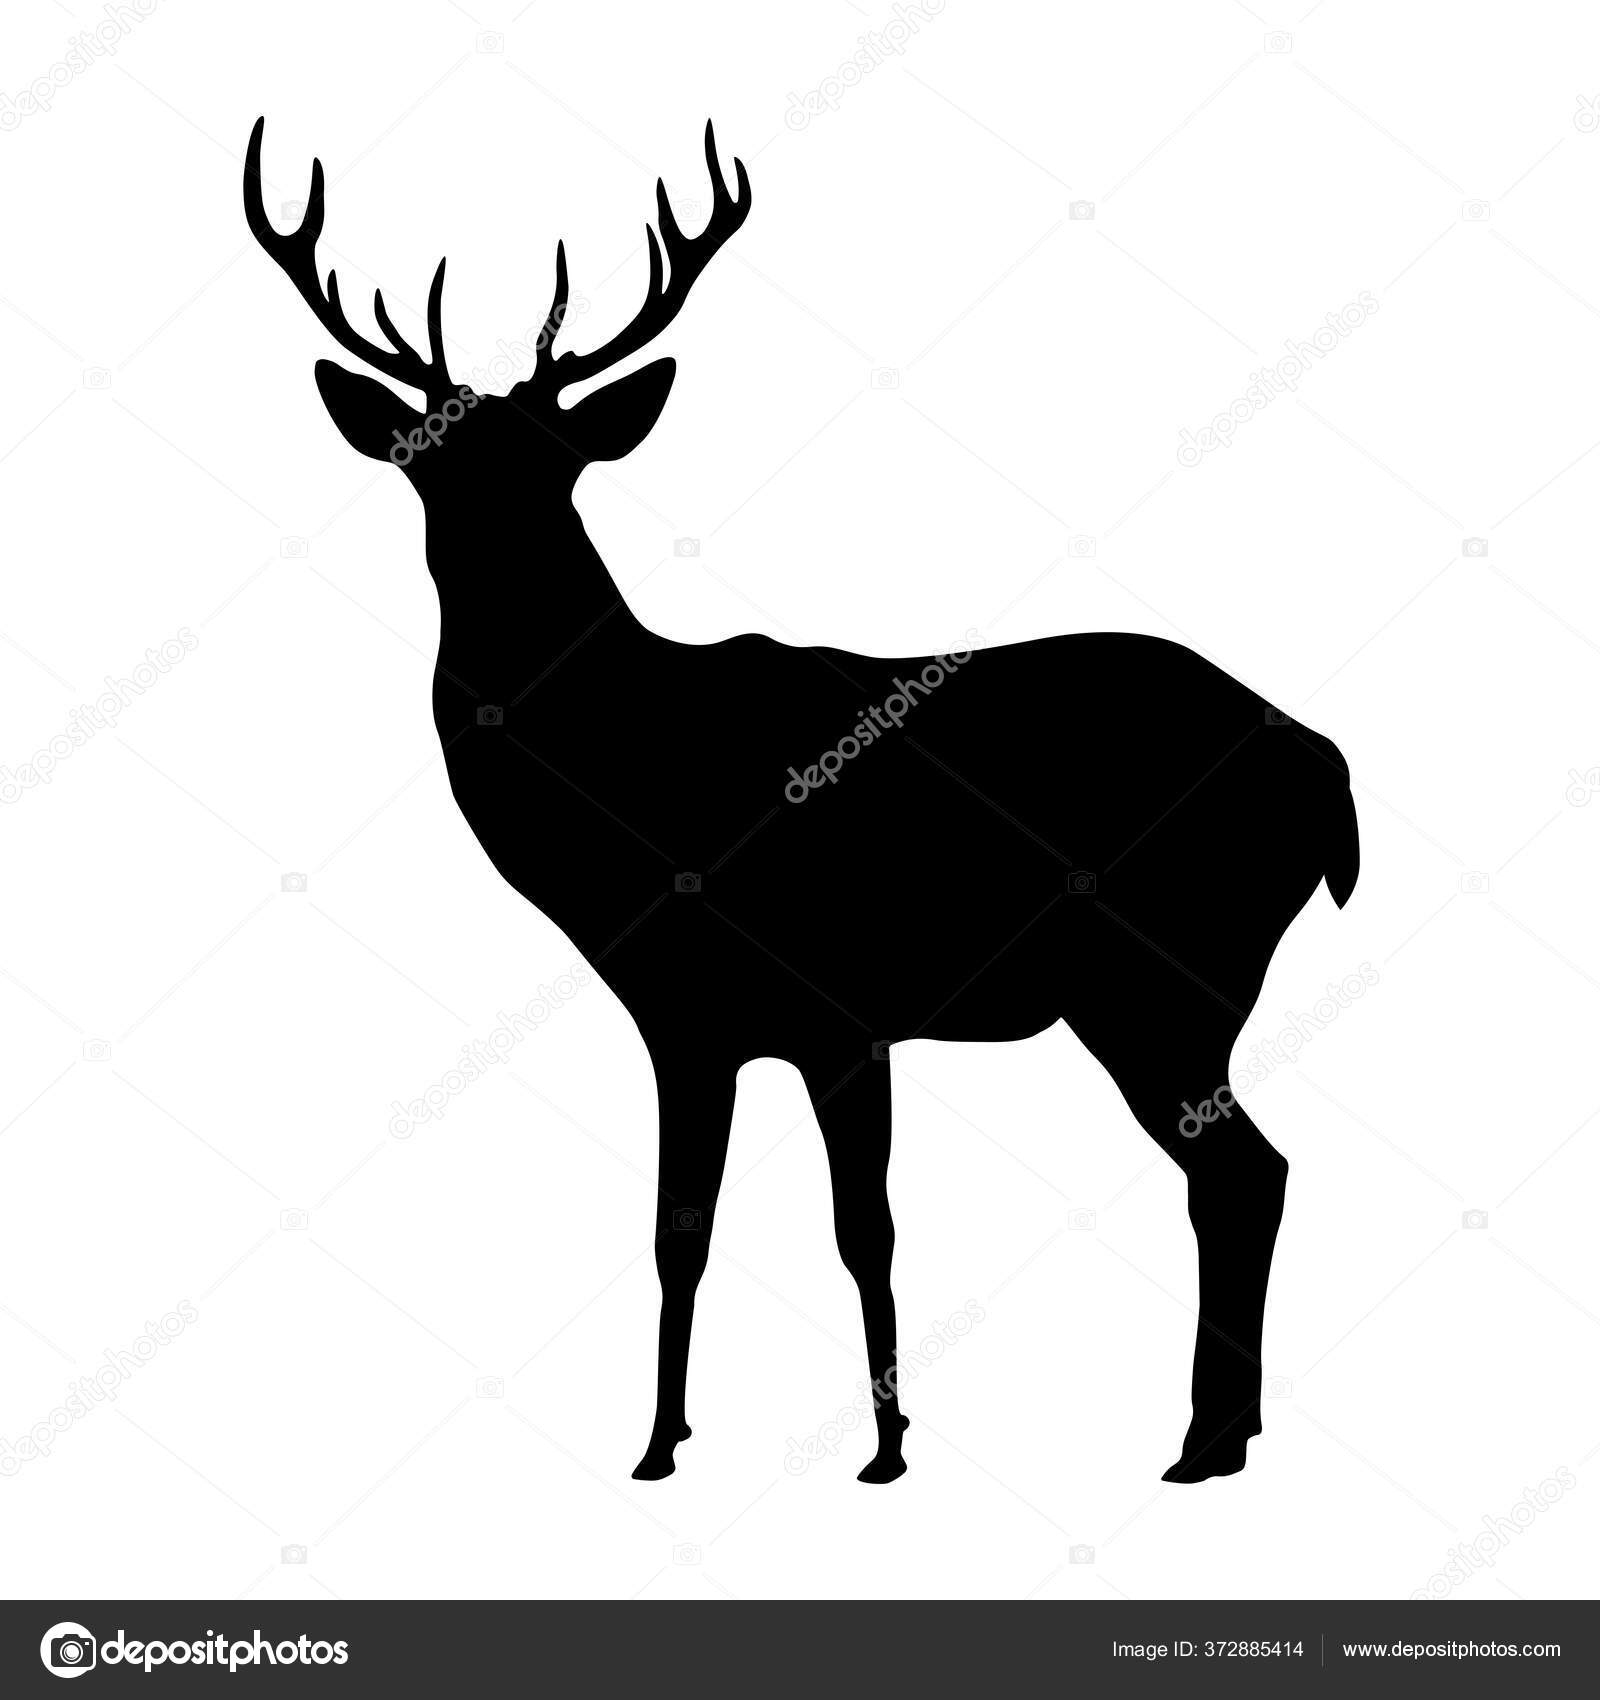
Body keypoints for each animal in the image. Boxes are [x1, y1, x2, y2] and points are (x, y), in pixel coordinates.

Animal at [245, 116, 1359, 1488]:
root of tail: (1326, 765)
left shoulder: (837, 1001)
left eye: (558, 465)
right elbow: (679, 1227)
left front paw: (884, 1446)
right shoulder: (683, 1015)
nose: (488, 559)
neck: (635, 796)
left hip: (1164, 974)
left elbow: (862, 1225)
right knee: (1247, 1170)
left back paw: (1202, 1440)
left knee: (1247, 1169)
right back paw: (1224, 1429)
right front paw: (660, 1442)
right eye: (424, 459)